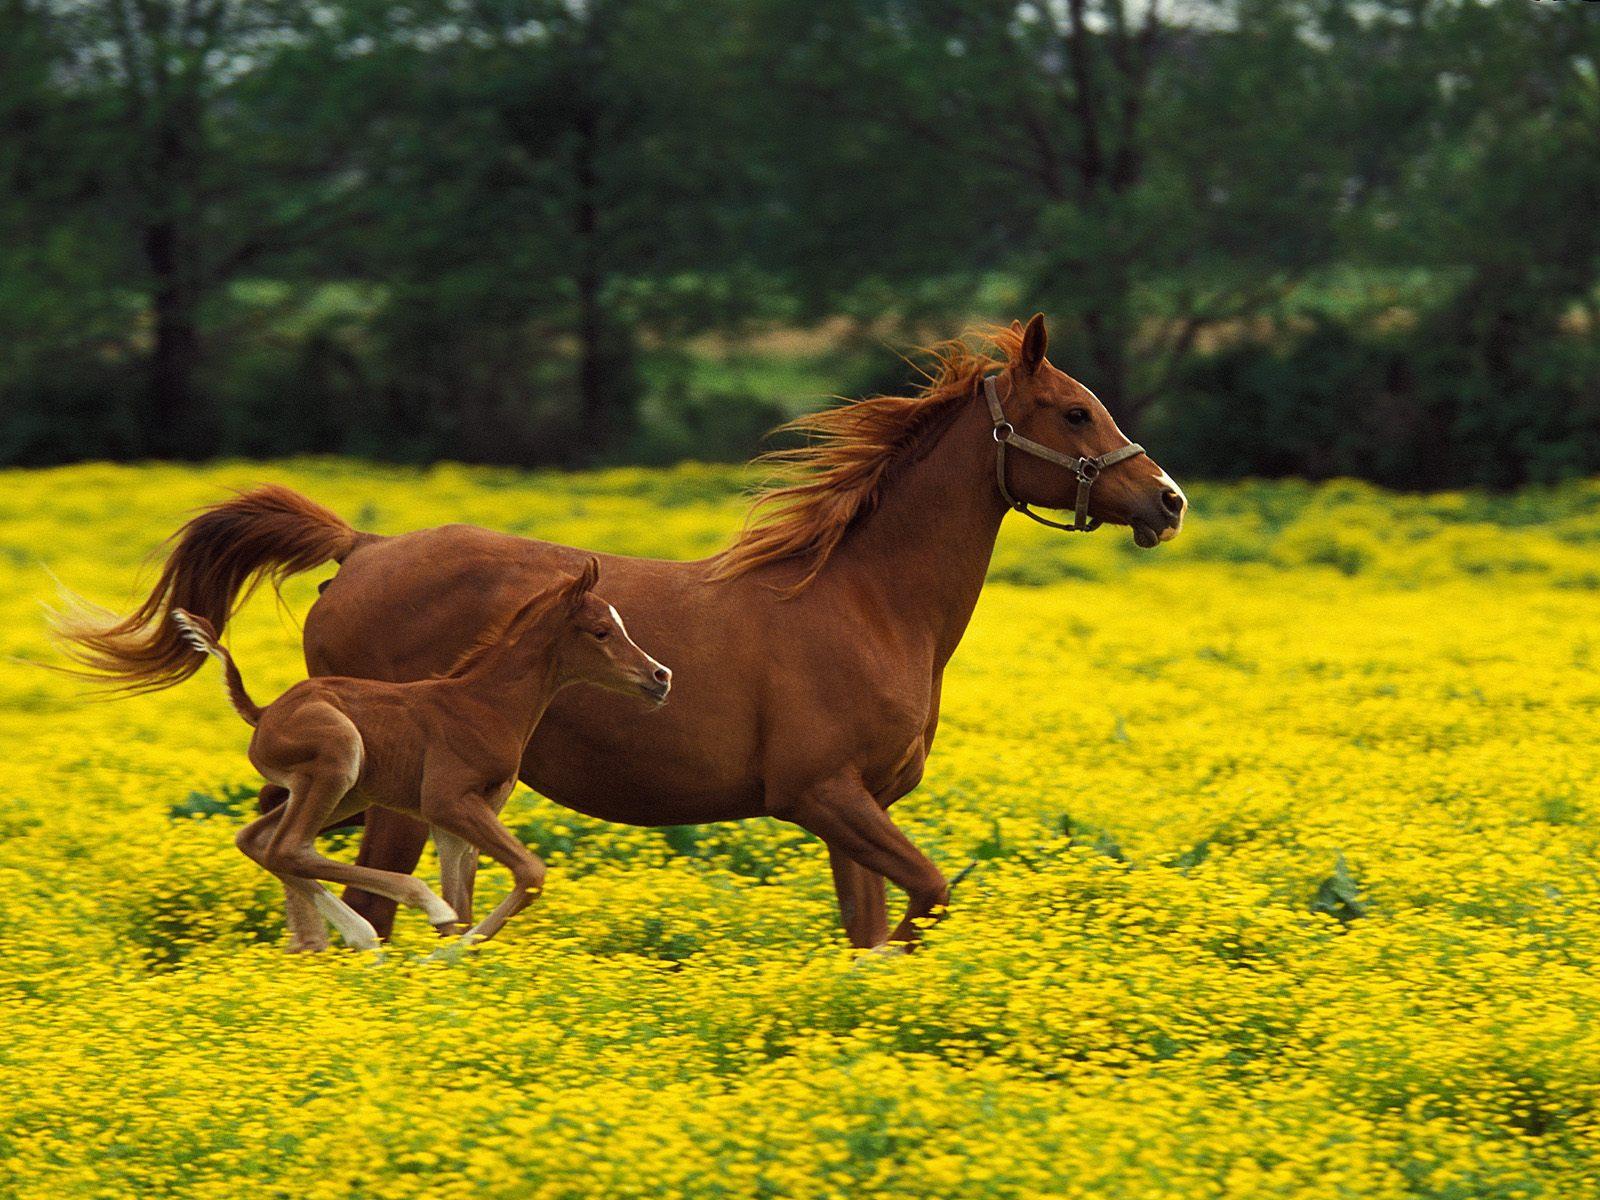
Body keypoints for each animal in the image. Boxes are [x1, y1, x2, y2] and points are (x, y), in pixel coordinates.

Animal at [170, 559, 671, 952]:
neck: (486, 705)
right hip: (338, 756)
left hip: (347, 792)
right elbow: (529, 872)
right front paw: (445, 952)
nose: (660, 676)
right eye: (602, 631)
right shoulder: (446, 800)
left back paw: (360, 936)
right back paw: (409, 911)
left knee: (259, 841)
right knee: (289, 847)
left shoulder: (460, 816)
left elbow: (467, 901)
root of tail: (264, 712)